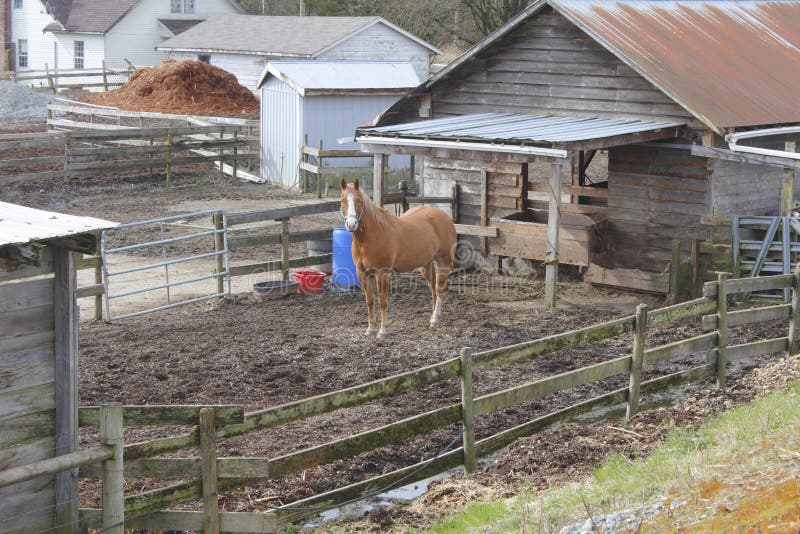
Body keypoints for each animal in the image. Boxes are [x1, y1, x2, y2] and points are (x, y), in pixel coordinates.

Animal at [340, 179, 457, 337]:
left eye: (359, 200)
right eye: (342, 200)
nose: (351, 224)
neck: (372, 236)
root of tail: (445, 217)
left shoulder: (382, 273)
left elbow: (382, 301)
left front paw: (383, 331)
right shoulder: (363, 273)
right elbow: (369, 300)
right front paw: (370, 329)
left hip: (443, 262)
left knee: (439, 290)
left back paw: (435, 320)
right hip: (426, 266)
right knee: (433, 289)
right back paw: (433, 316)